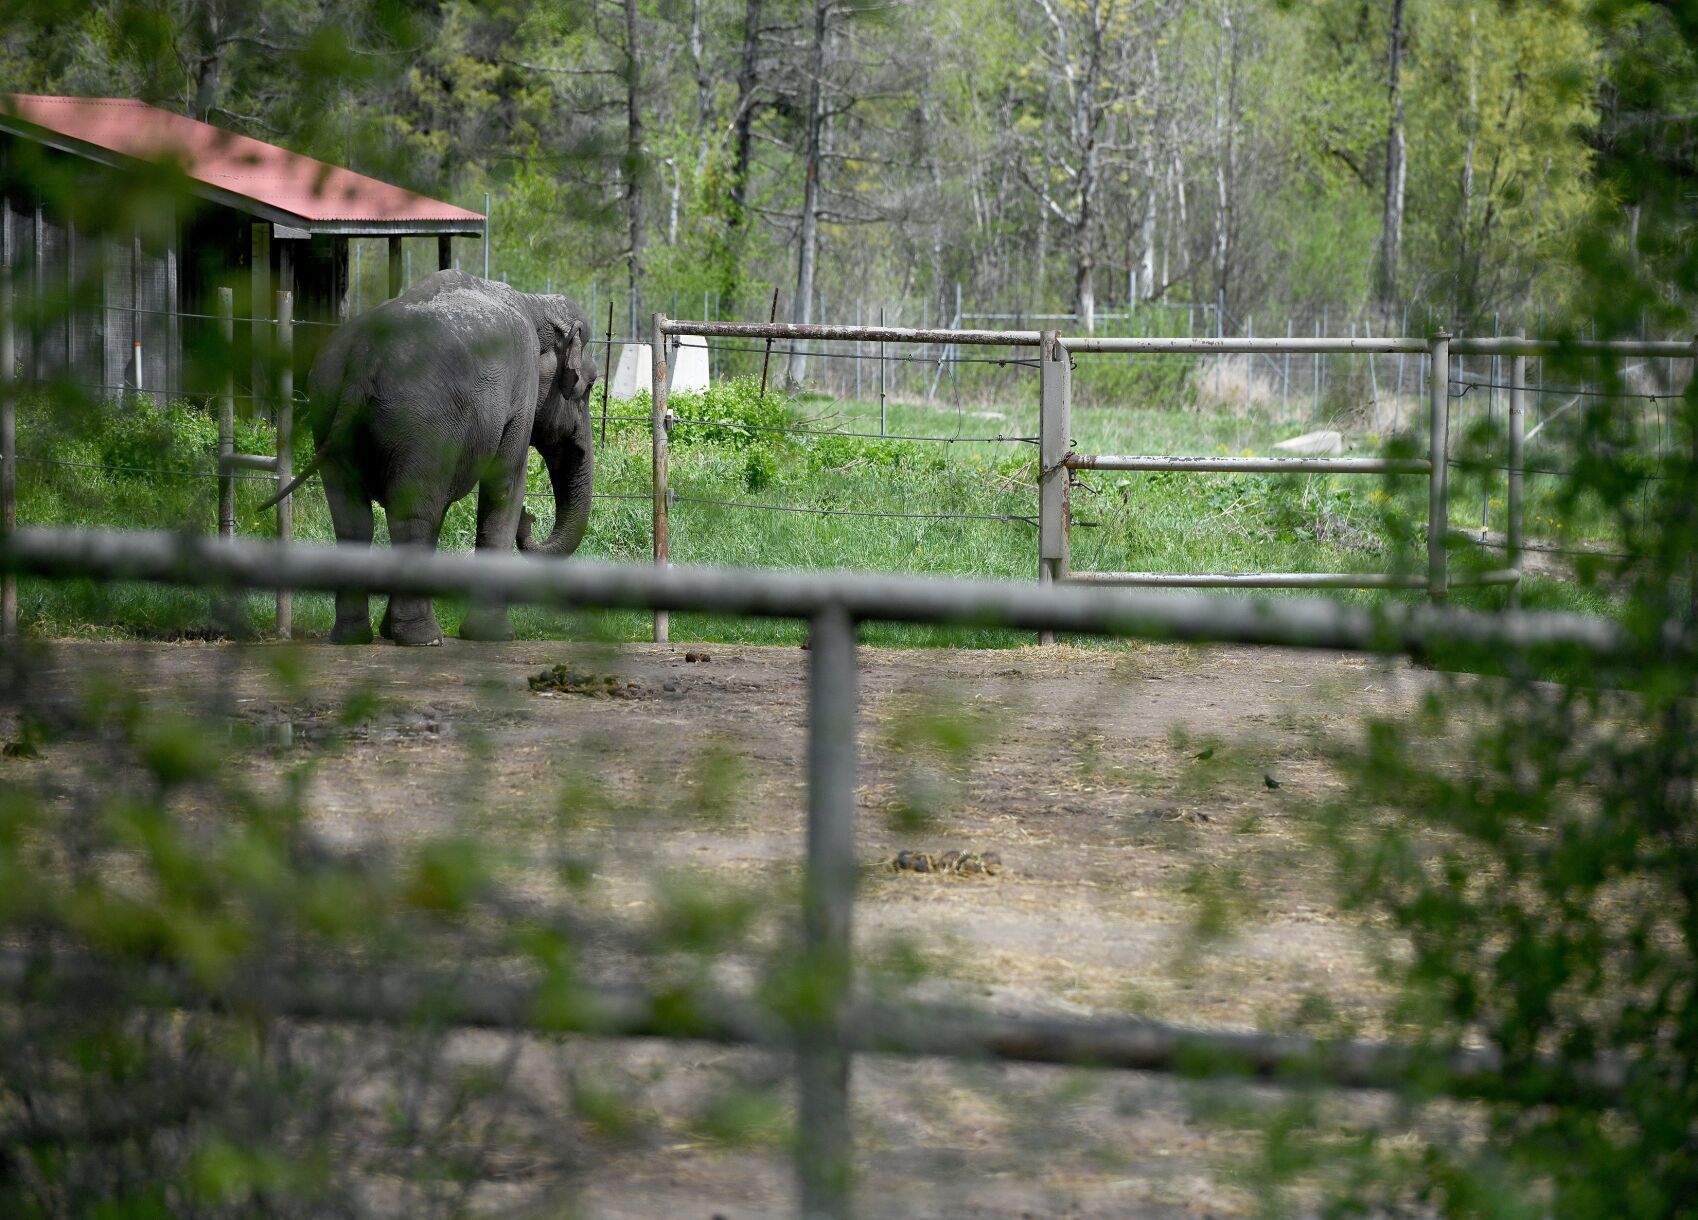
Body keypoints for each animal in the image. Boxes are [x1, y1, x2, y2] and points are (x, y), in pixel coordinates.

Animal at [263, 270, 597, 645]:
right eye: (589, 387)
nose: (532, 518)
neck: (534, 302)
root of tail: (365, 354)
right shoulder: (519, 396)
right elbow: (505, 485)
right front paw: (494, 636)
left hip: (328, 407)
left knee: (356, 521)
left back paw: (355, 636)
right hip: (423, 422)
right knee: (413, 515)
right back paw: (424, 638)